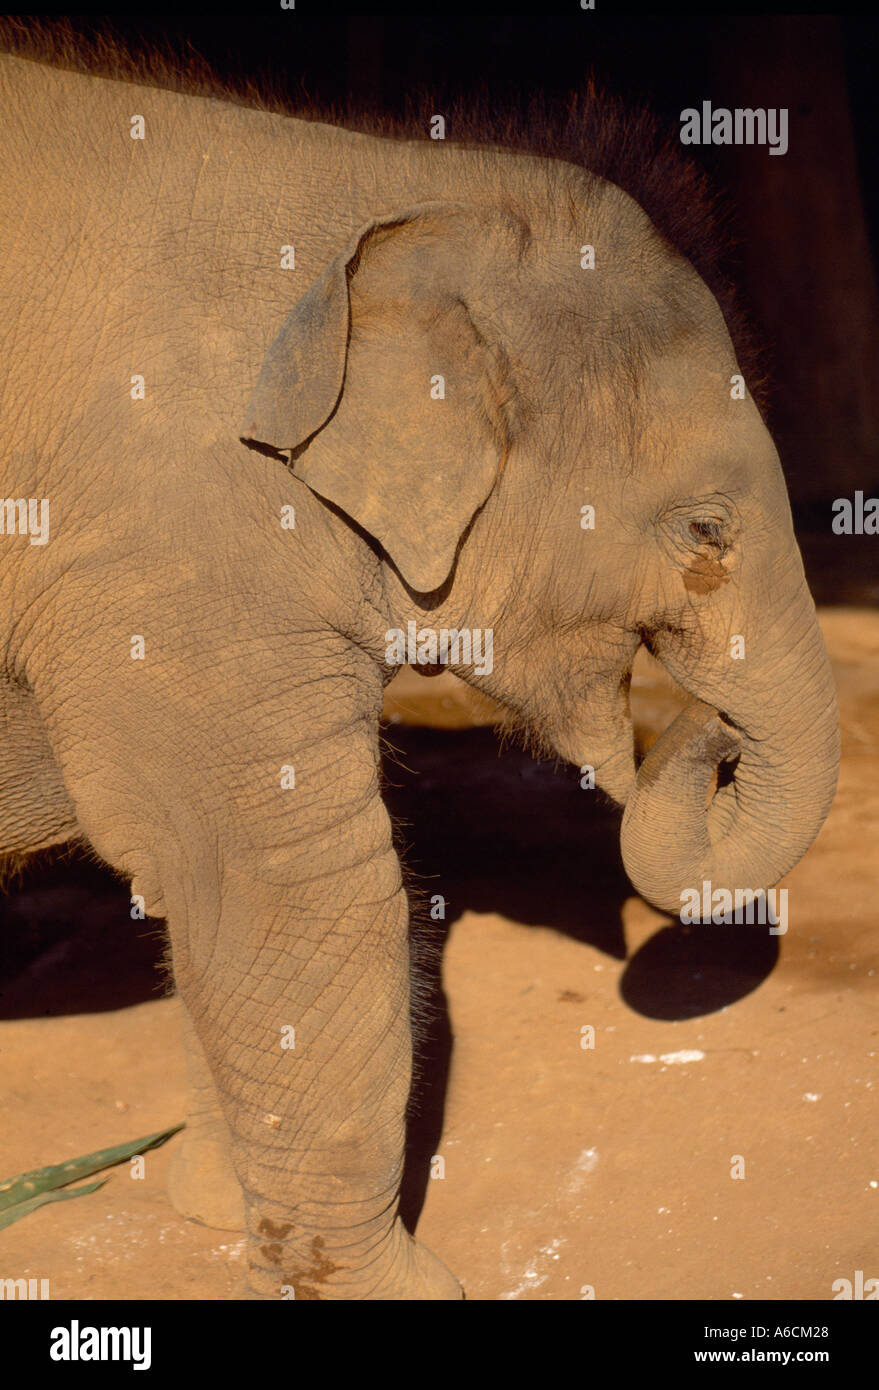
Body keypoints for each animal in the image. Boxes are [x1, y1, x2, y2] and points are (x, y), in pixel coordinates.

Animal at [0, 42, 839, 1300]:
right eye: (704, 532)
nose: (715, 737)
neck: (396, 186)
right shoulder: (171, 556)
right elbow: (293, 878)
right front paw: (390, 1286)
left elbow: (220, 881)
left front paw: (215, 1209)